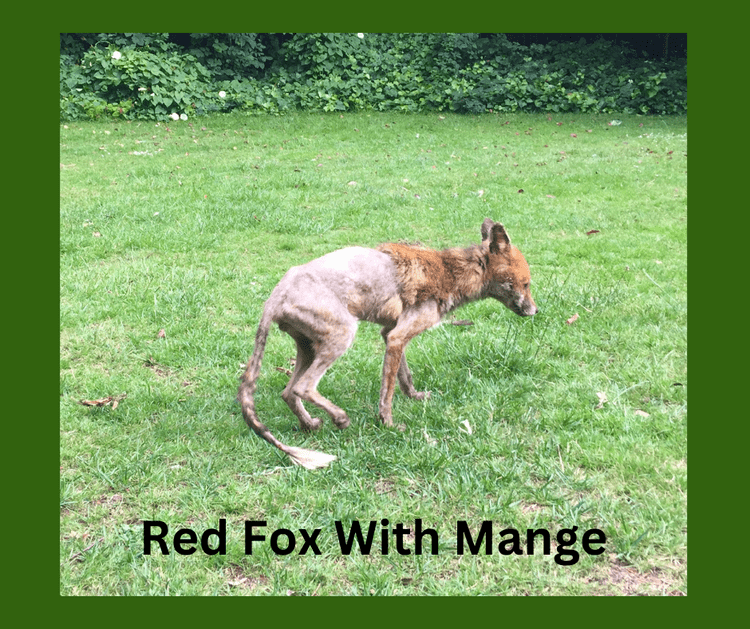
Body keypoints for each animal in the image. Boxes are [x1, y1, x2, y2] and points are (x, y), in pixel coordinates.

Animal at [239, 218, 537, 469]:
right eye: (526, 283)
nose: (536, 311)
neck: (450, 273)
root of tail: (274, 297)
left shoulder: (392, 334)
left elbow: (405, 377)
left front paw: (415, 397)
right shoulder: (397, 336)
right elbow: (388, 393)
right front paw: (389, 425)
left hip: (309, 348)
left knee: (288, 392)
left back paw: (310, 425)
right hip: (342, 337)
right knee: (304, 387)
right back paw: (340, 418)